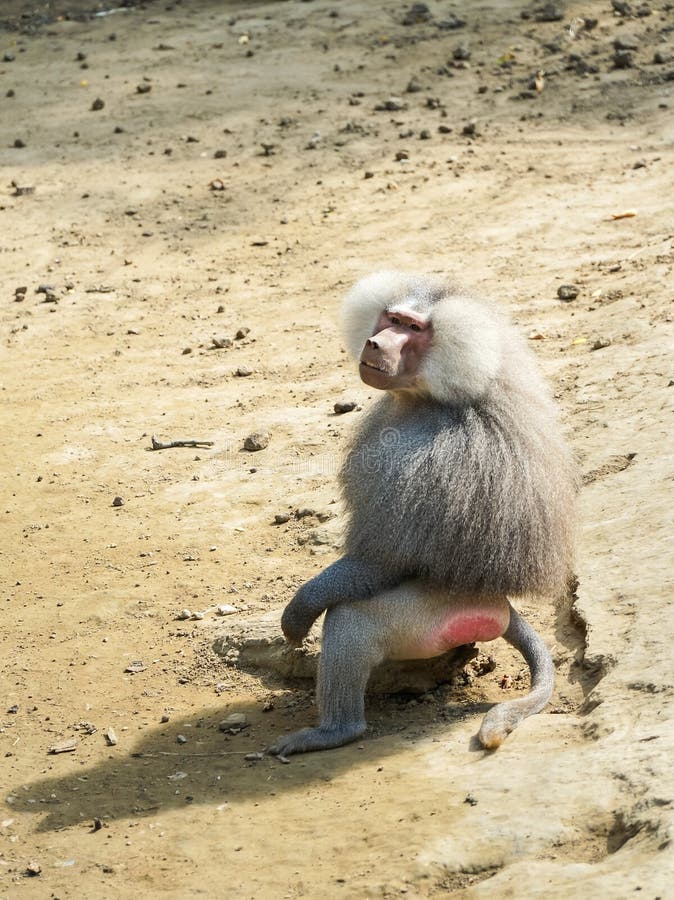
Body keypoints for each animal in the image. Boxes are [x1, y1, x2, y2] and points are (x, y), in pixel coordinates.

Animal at [270, 271, 577, 757]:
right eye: (391, 319)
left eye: (413, 330)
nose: (374, 343)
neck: (428, 397)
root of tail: (501, 603)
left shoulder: (431, 463)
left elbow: (382, 561)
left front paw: (297, 615)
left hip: (432, 614)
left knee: (352, 620)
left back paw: (334, 731)